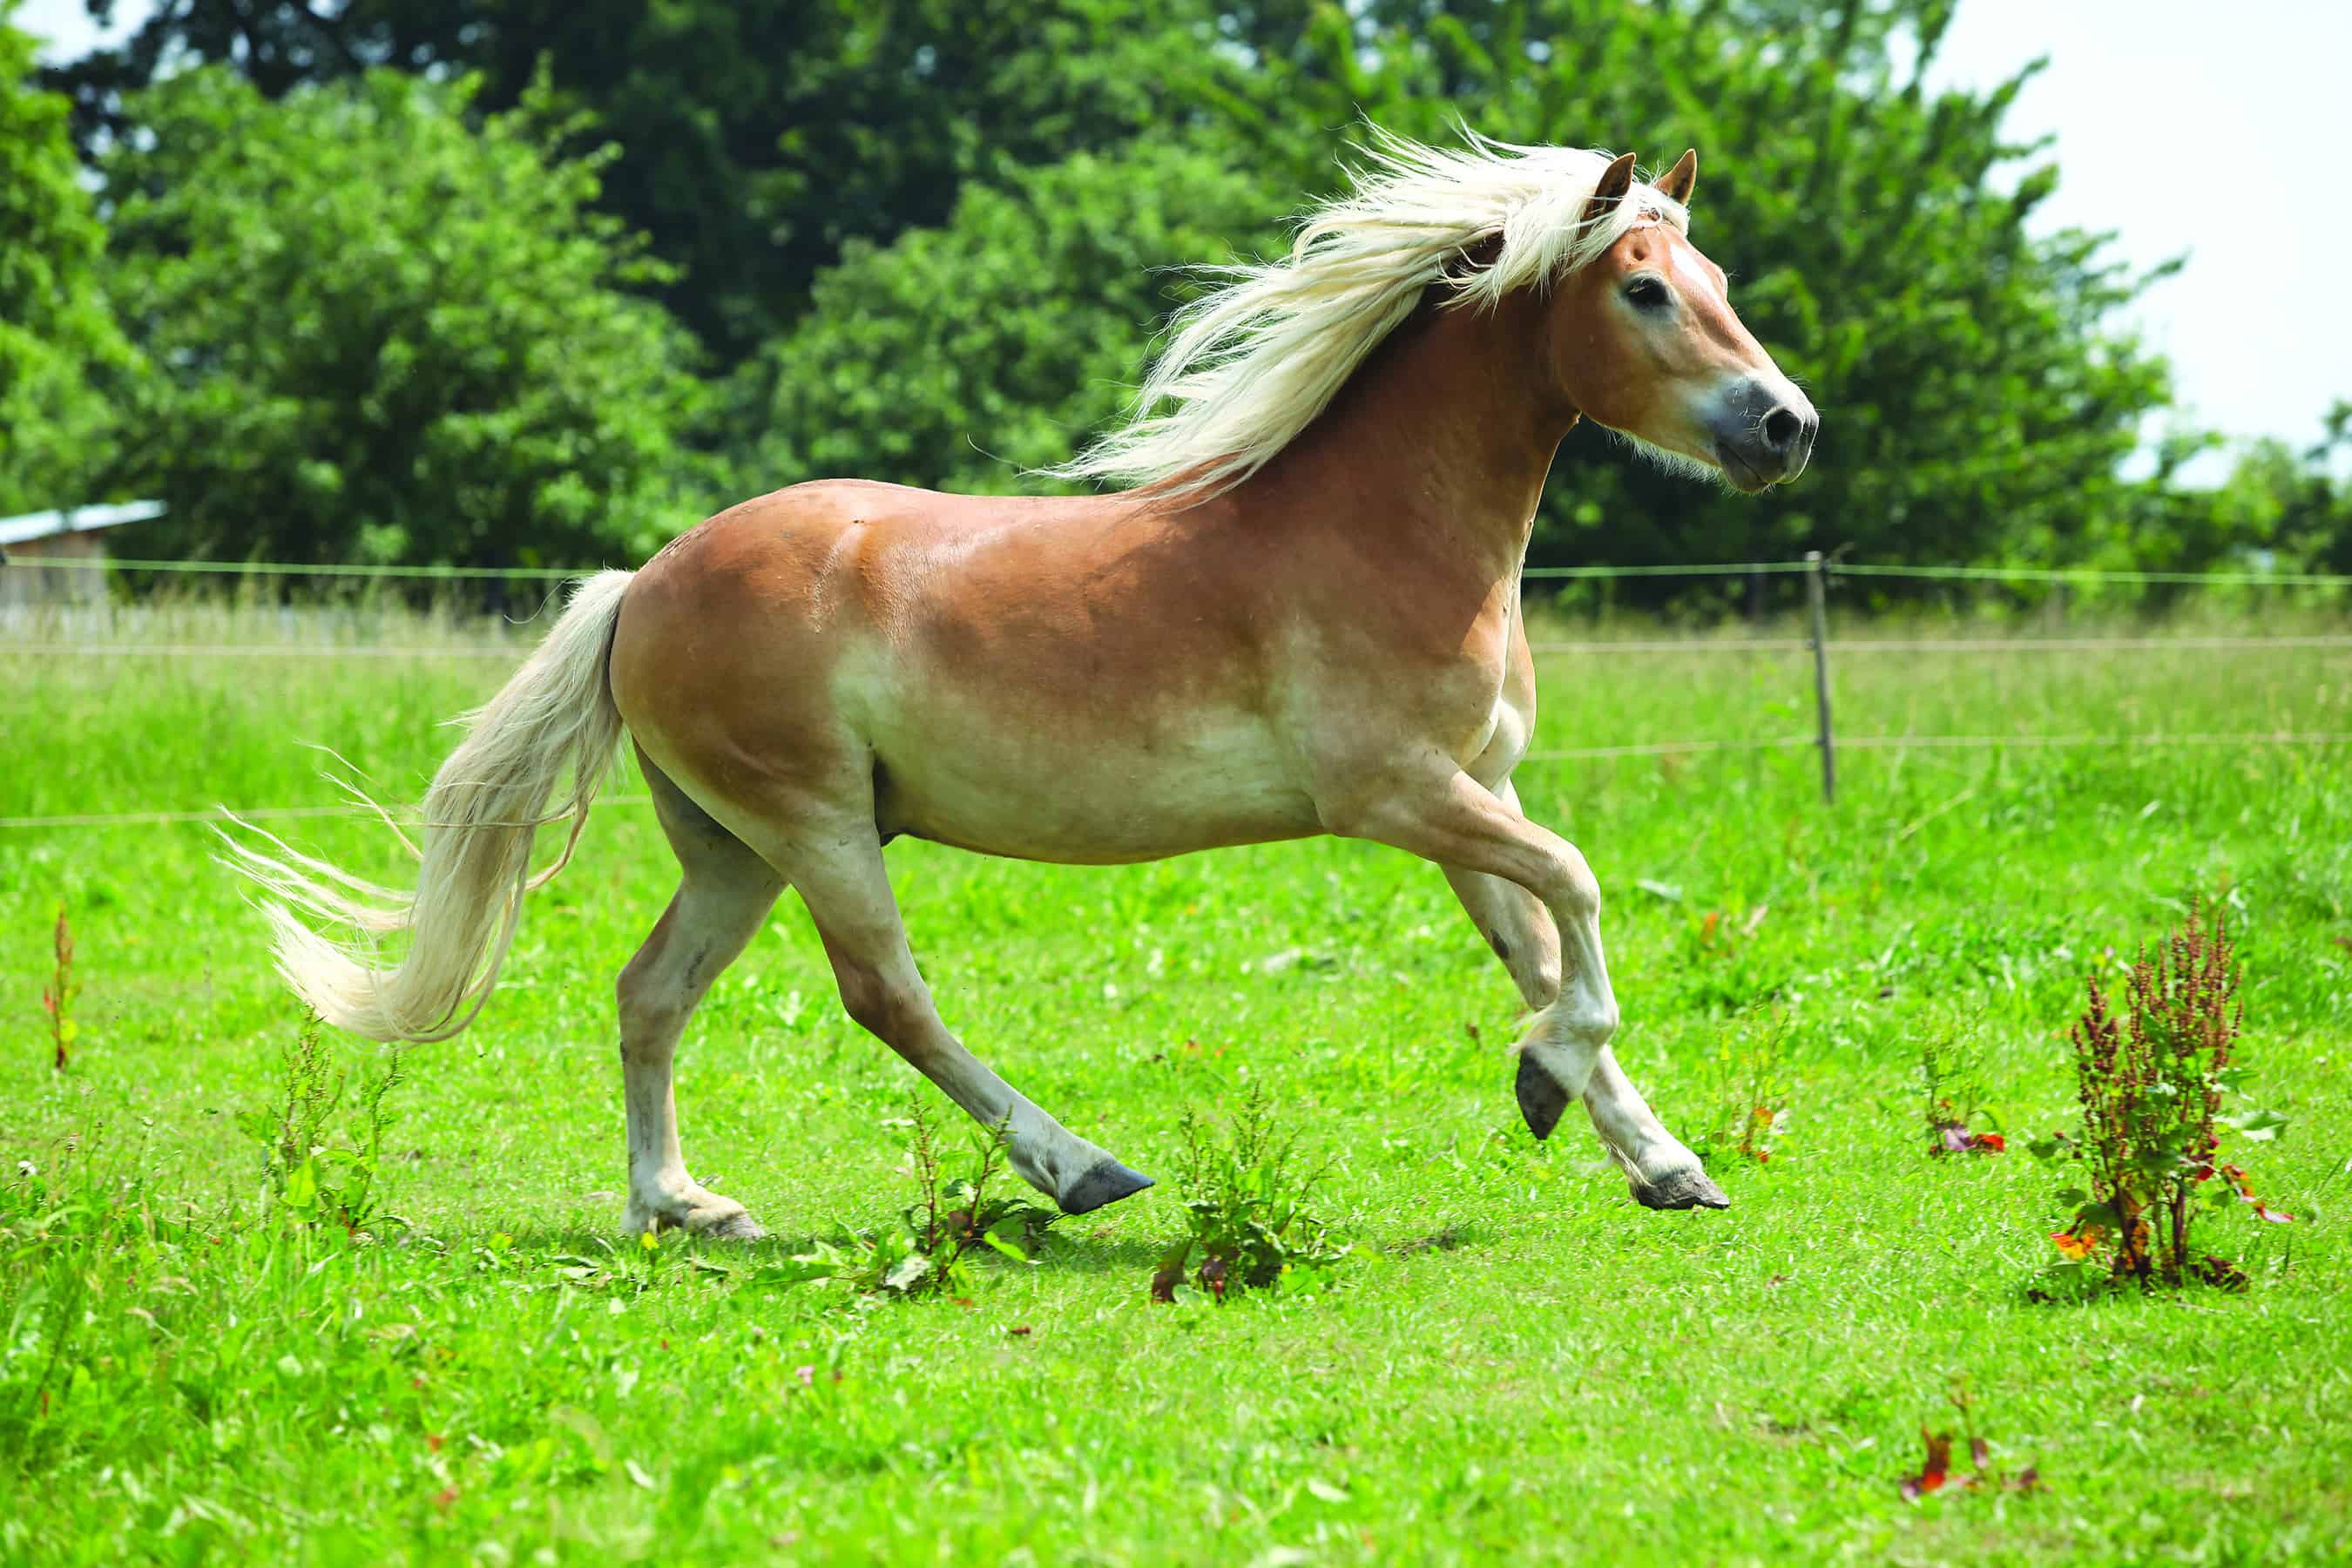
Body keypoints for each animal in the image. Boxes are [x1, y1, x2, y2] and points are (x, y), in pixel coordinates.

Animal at [227, 131, 1817, 1238]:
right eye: (1646, 291)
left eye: (1721, 286)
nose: (1787, 429)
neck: (1390, 527)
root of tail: (644, 583)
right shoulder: (1399, 795)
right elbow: (1582, 902)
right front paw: (1556, 1084)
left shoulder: (1472, 793)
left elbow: (1542, 949)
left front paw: (1653, 1156)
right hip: (815, 825)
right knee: (886, 997)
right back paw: (1080, 1168)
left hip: (734, 849)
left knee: (649, 995)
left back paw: (676, 1207)